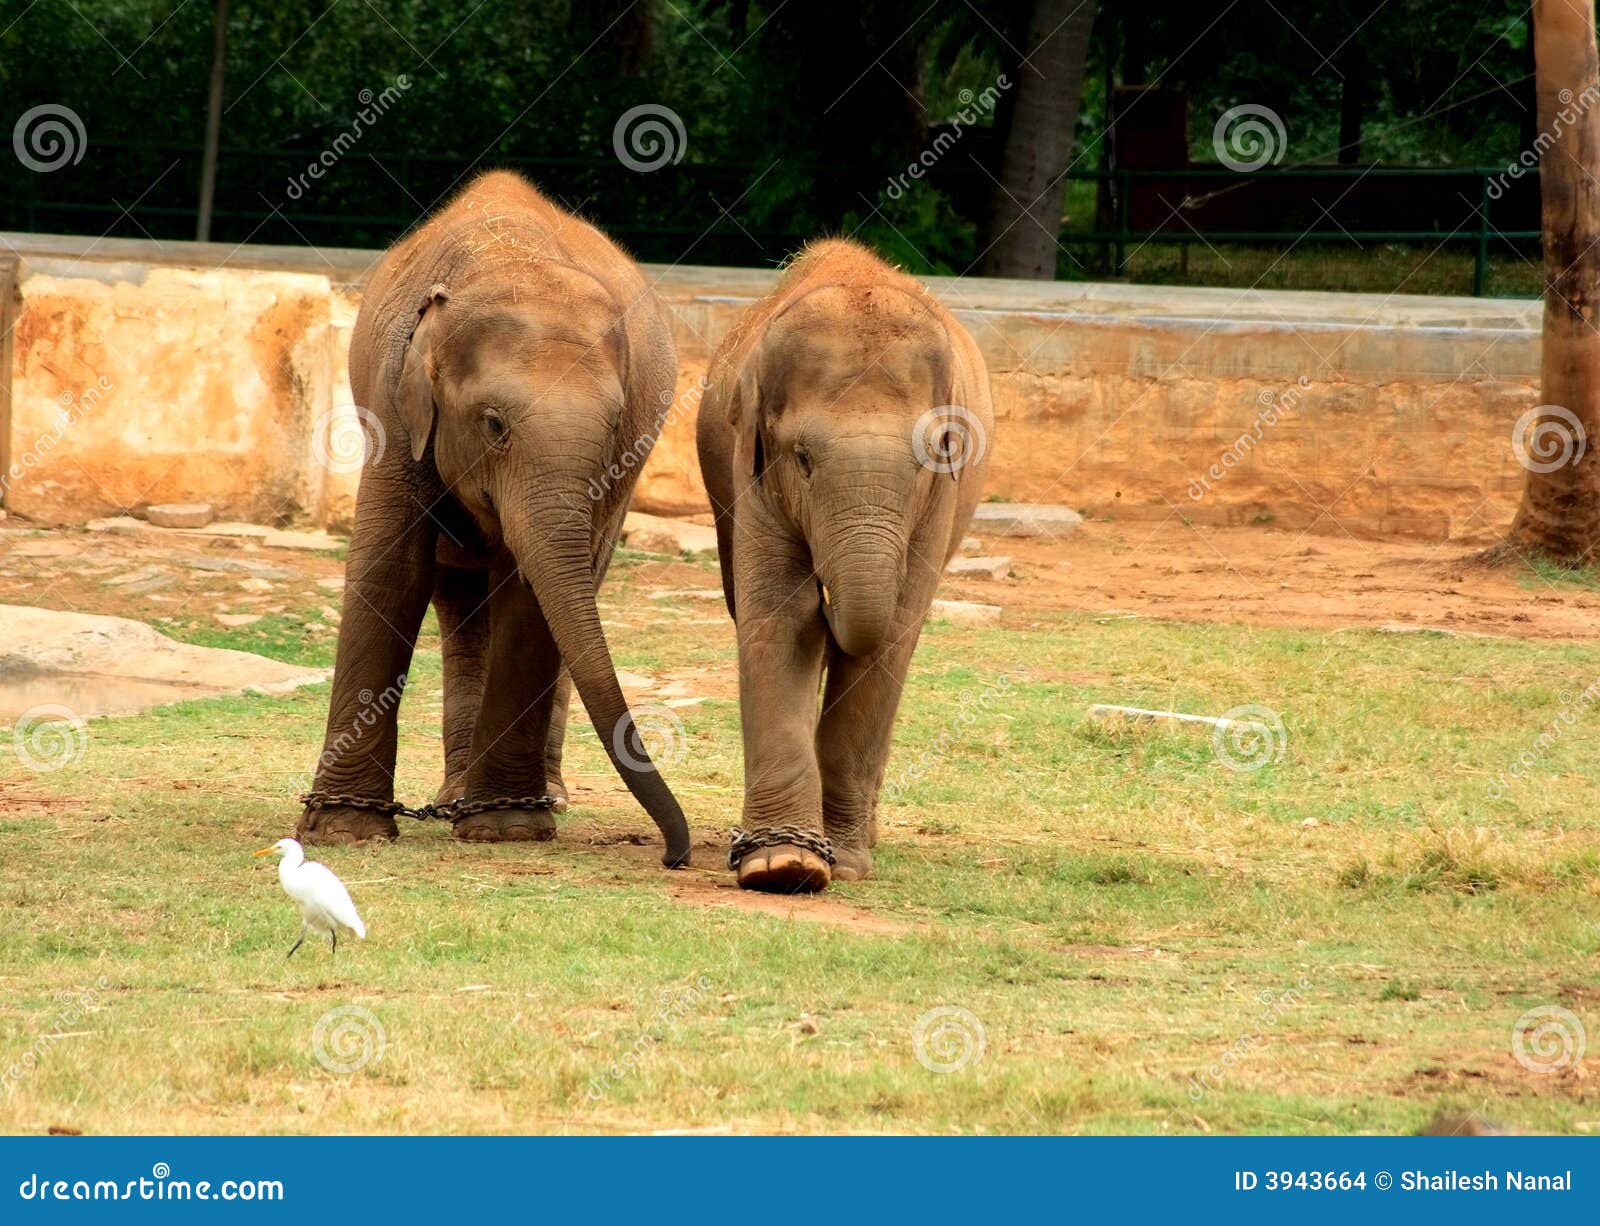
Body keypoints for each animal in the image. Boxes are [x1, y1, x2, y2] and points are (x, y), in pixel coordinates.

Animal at [296, 170, 691, 869]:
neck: (511, 259)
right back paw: (456, 797)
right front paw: (345, 829)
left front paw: (506, 827)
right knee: (459, 601)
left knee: (571, 588)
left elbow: (529, 590)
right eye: (494, 424)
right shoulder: (395, 408)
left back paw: (536, 799)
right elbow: (391, 571)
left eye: (616, 423)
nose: (677, 854)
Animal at [696, 239, 994, 892]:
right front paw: (784, 866)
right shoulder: (753, 468)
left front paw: (845, 863)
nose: (829, 601)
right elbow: (781, 616)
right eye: (803, 458)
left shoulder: (940, 501)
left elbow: (894, 631)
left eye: (932, 454)